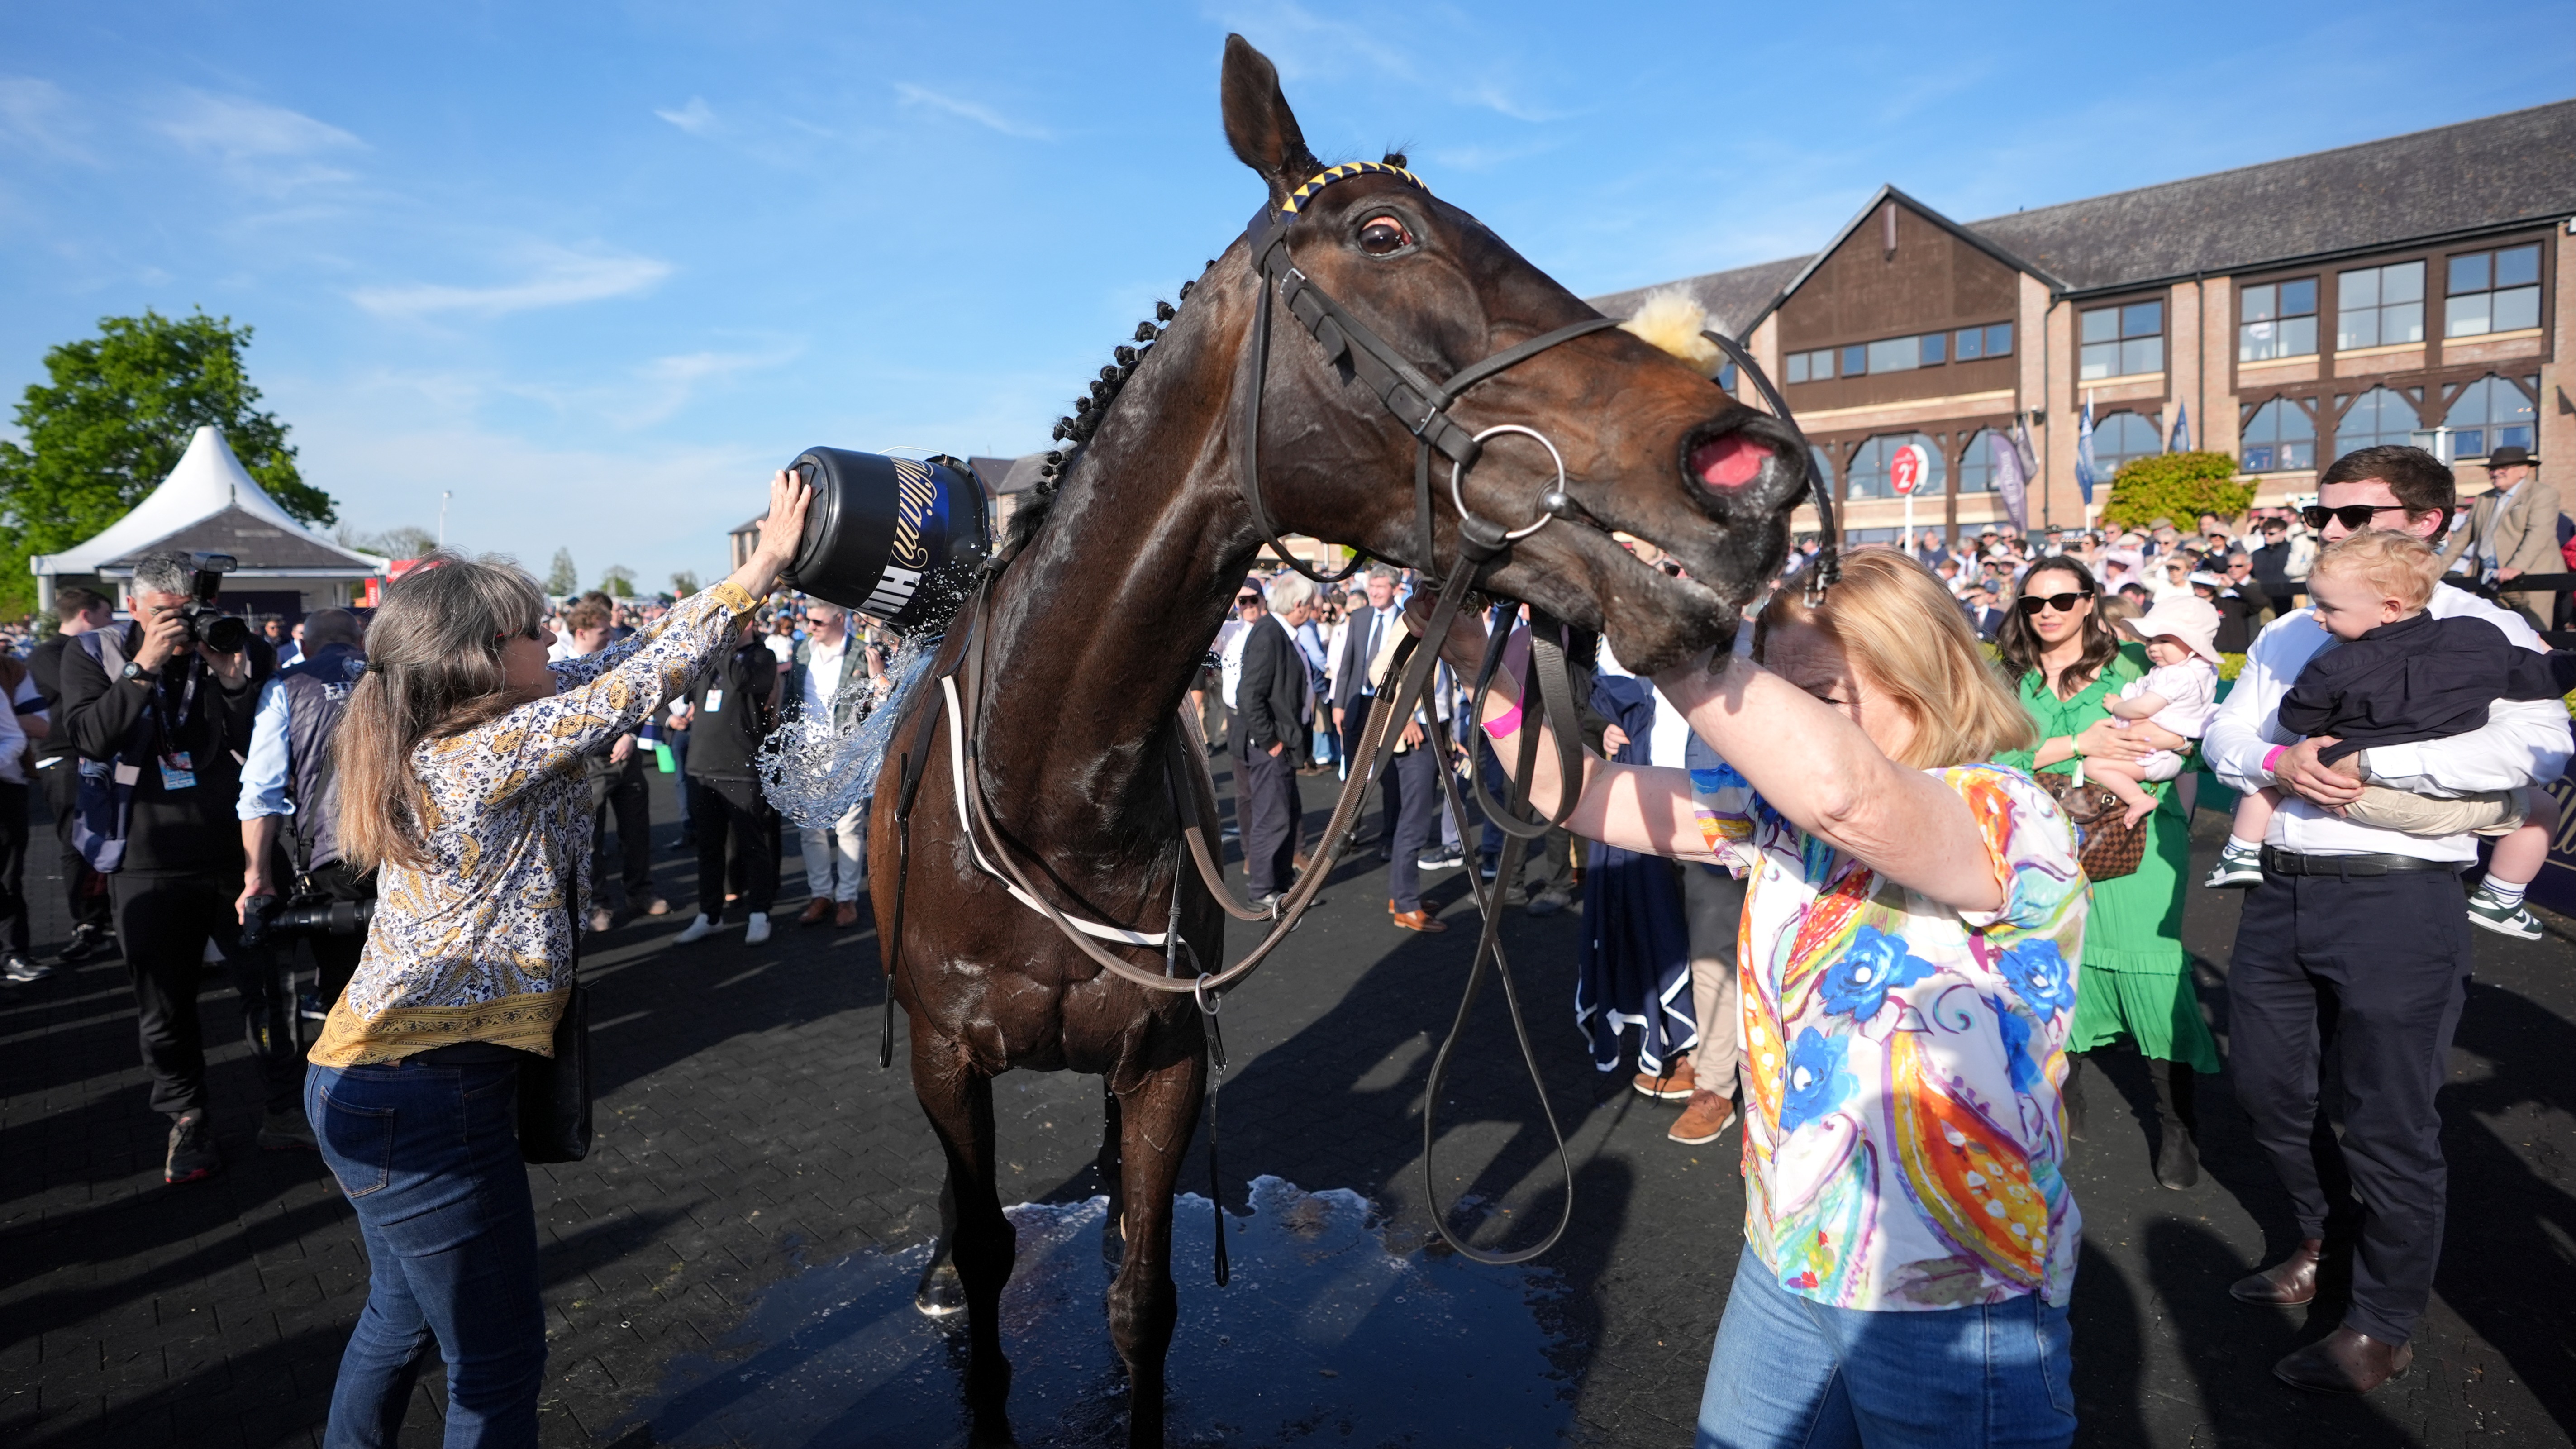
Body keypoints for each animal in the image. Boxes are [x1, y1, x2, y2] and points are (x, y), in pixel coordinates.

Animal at [868, 34, 1813, 1447]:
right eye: (1382, 233)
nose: (1748, 467)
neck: (1050, 793)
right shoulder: (948, 1058)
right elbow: (986, 1266)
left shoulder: (1161, 1067)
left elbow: (1143, 1300)